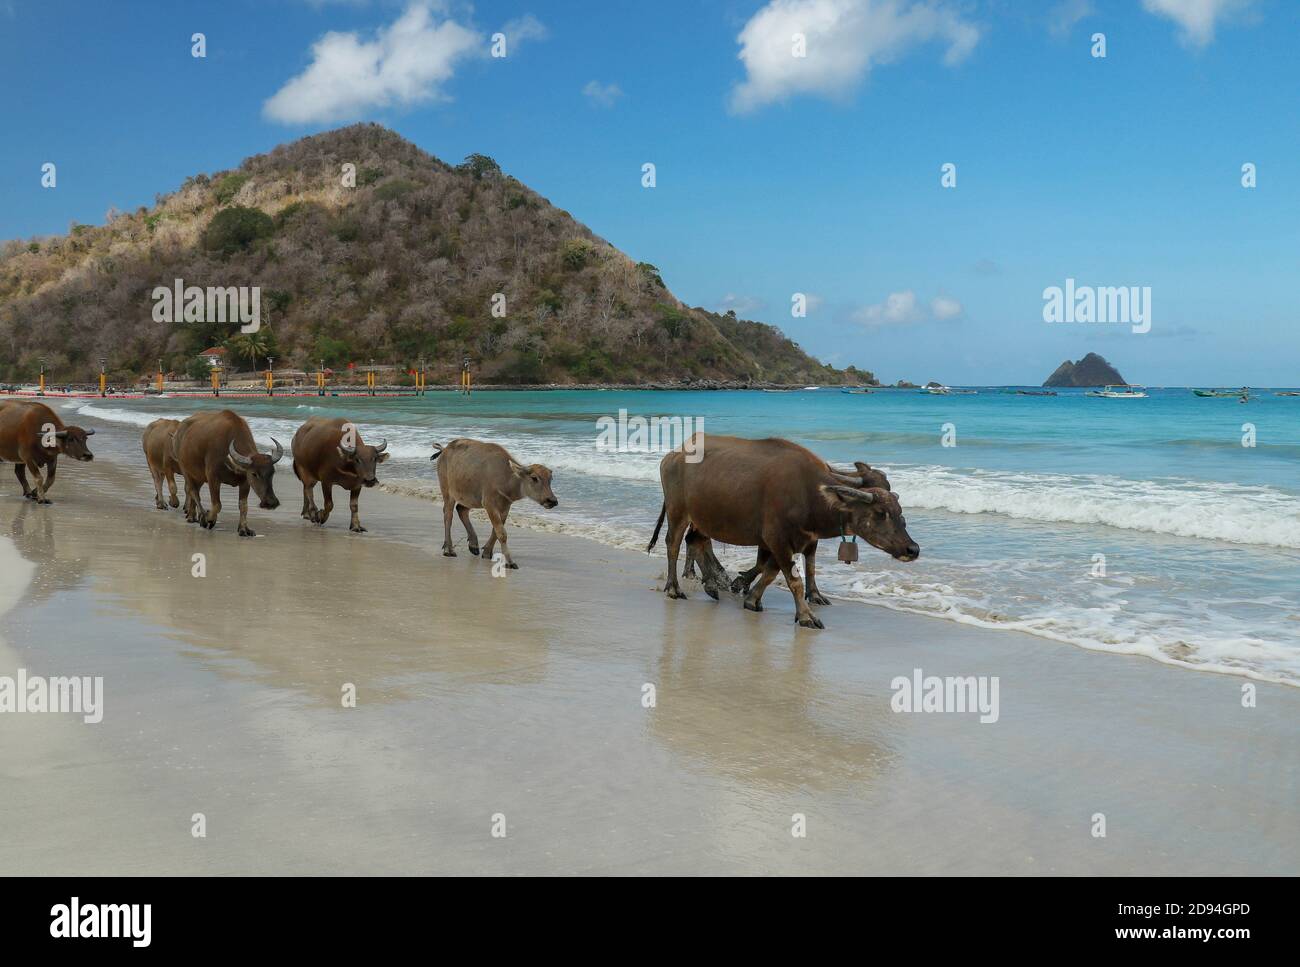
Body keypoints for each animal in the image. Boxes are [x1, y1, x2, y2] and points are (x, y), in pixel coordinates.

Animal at [429, 438, 557, 568]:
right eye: (534, 478)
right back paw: (448, 549)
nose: (552, 500)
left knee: (461, 509)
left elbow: (496, 531)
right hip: (448, 492)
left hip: (470, 499)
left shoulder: (505, 507)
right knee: (448, 515)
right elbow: (501, 533)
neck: (506, 478)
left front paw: (487, 552)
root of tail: (444, 450)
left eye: (550, 479)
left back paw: (473, 545)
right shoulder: (489, 504)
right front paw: (510, 562)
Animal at [648, 434, 918, 629]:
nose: (912, 549)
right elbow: (792, 578)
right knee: (673, 543)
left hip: (705, 519)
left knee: (695, 541)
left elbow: (777, 570)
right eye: (880, 513)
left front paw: (751, 597)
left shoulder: (798, 541)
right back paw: (675, 588)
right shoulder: (775, 539)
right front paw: (806, 616)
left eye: (899, 511)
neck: (809, 494)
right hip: (678, 512)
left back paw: (713, 585)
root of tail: (672, 456)